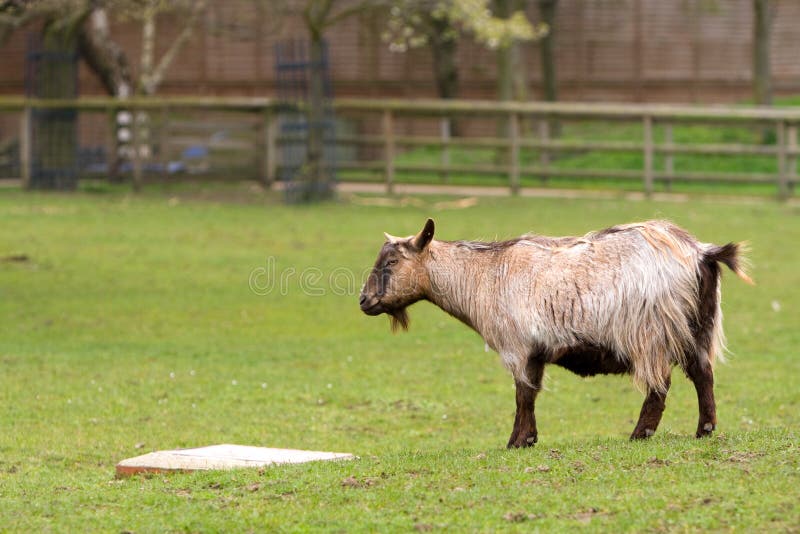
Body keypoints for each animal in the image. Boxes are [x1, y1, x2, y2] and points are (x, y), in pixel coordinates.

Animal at [359, 218, 752, 447]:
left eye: (391, 262)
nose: (364, 300)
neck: (485, 274)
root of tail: (700, 253)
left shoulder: (518, 348)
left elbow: (523, 396)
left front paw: (517, 442)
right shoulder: (535, 352)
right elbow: (529, 395)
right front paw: (527, 439)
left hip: (651, 331)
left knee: (659, 384)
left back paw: (641, 433)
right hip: (697, 328)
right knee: (703, 374)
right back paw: (704, 429)